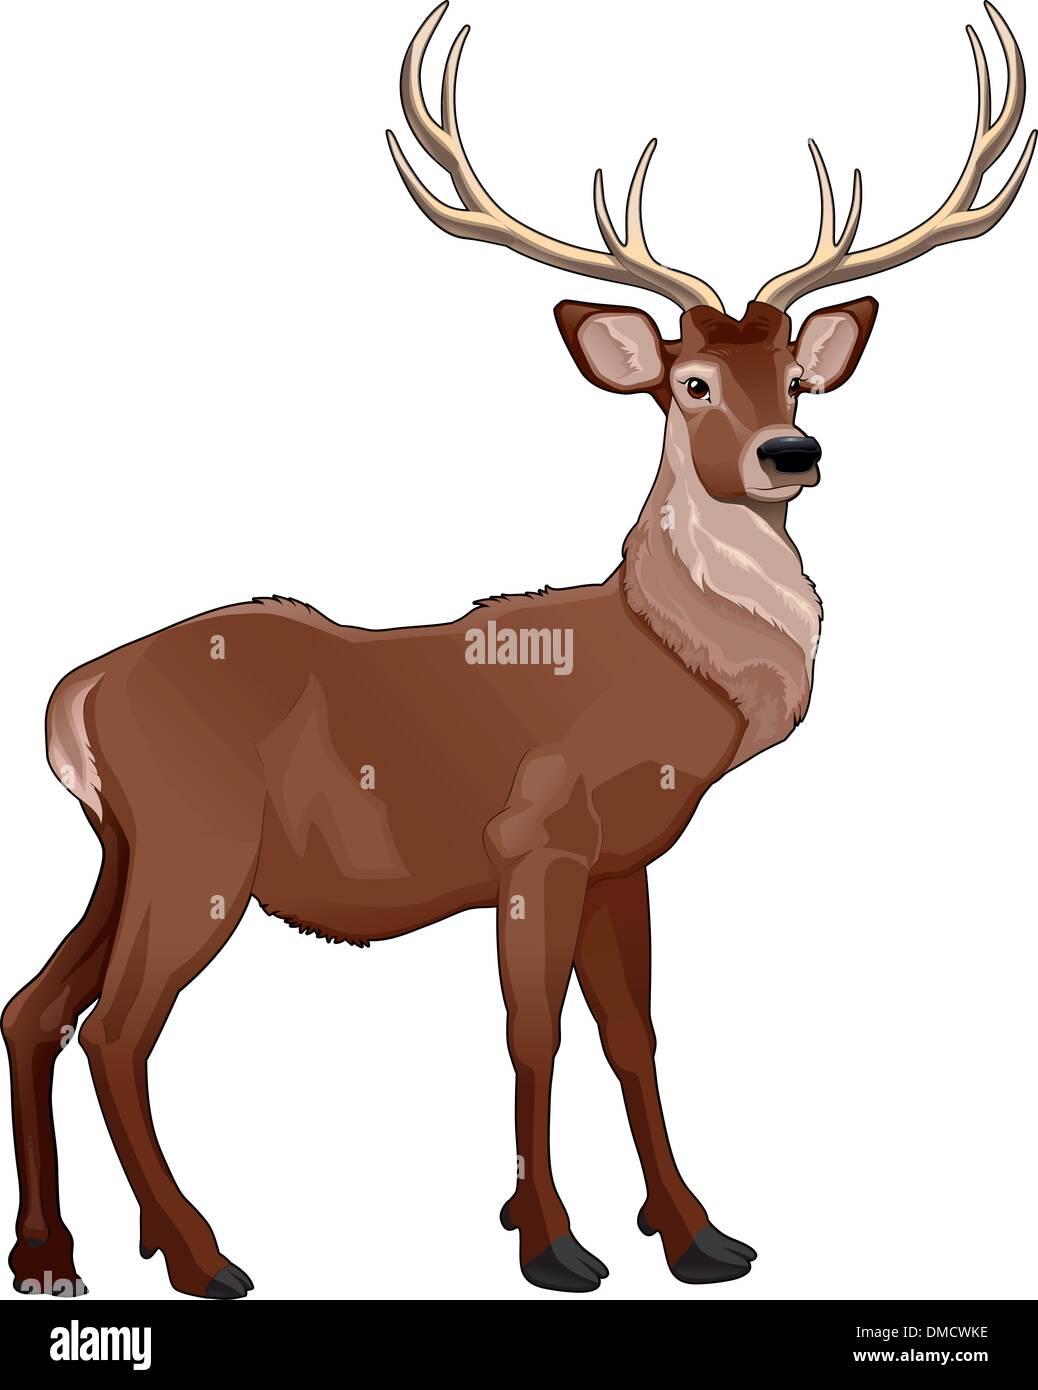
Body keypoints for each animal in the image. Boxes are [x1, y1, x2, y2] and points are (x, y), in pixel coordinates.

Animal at [4, 1, 1034, 1300]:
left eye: (798, 375)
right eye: (692, 383)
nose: (791, 453)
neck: (669, 675)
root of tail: (72, 695)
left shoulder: (623, 857)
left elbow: (634, 1033)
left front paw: (698, 1233)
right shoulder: (535, 835)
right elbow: (531, 1031)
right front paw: (551, 1239)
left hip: (125, 846)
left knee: (34, 1005)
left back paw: (52, 1253)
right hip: (201, 844)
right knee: (115, 1027)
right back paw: (201, 1251)